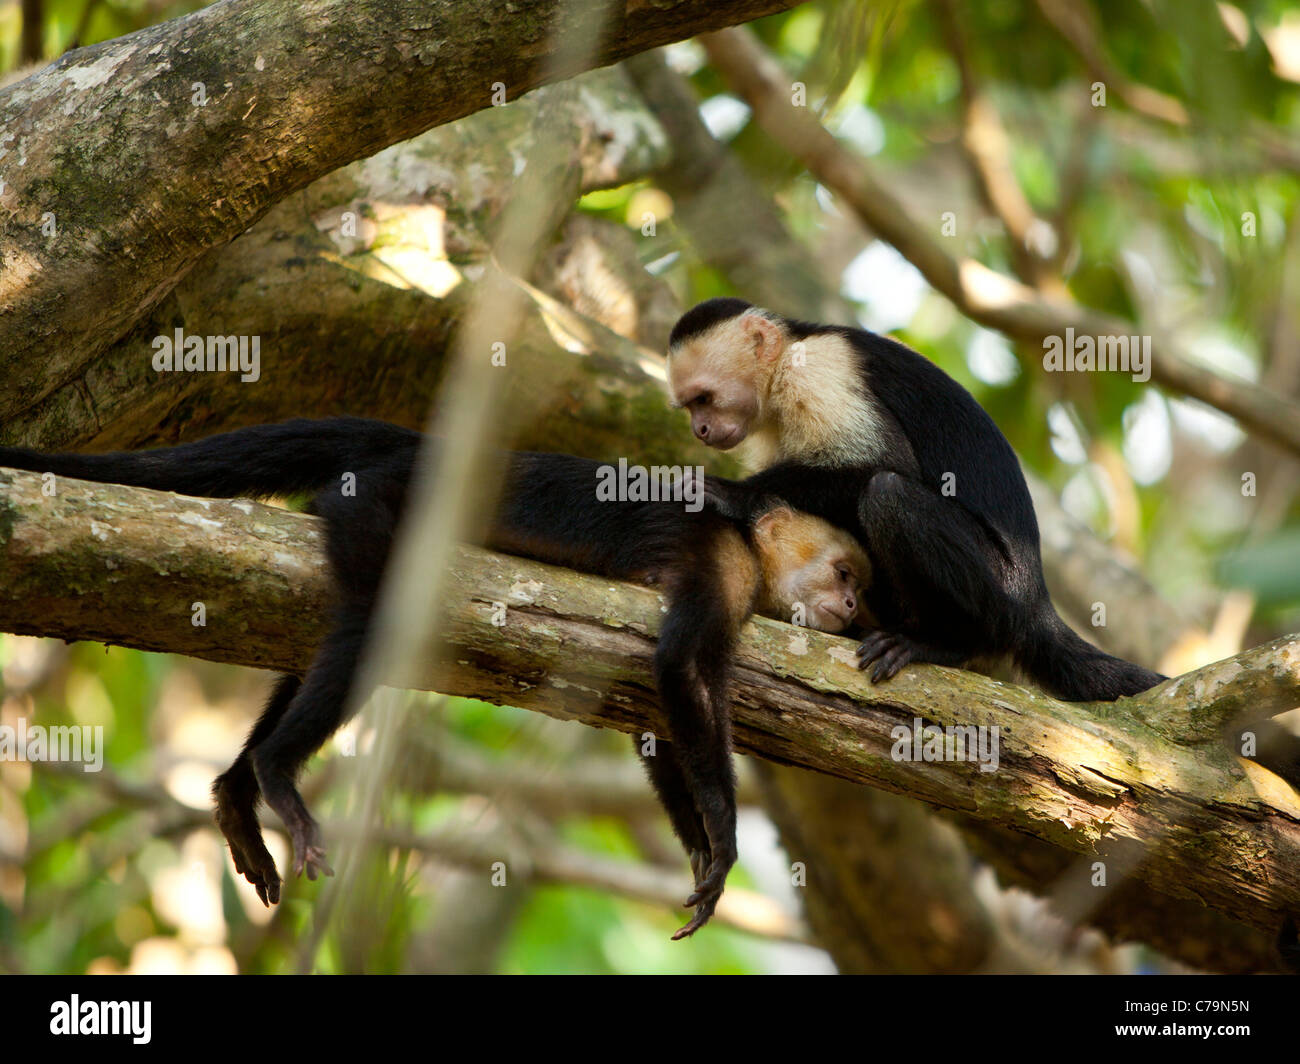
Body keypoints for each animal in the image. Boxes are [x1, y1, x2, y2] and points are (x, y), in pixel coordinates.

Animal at [0, 418, 870, 938]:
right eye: (848, 572)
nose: (853, 606)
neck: (750, 544)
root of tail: (410, 443)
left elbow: (653, 717)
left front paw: (695, 848)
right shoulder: (718, 560)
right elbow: (679, 667)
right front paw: (722, 837)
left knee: (319, 640)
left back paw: (236, 790)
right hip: (375, 506)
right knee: (377, 620)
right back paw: (276, 774)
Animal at [665, 297, 1167, 703]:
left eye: (704, 398)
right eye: (689, 406)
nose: (699, 430)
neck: (785, 359)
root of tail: (1037, 601)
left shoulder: (819, 371)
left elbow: (886, 463)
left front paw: (730, 493)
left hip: (1003, 593)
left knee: (888, 494)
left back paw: (946, 644)